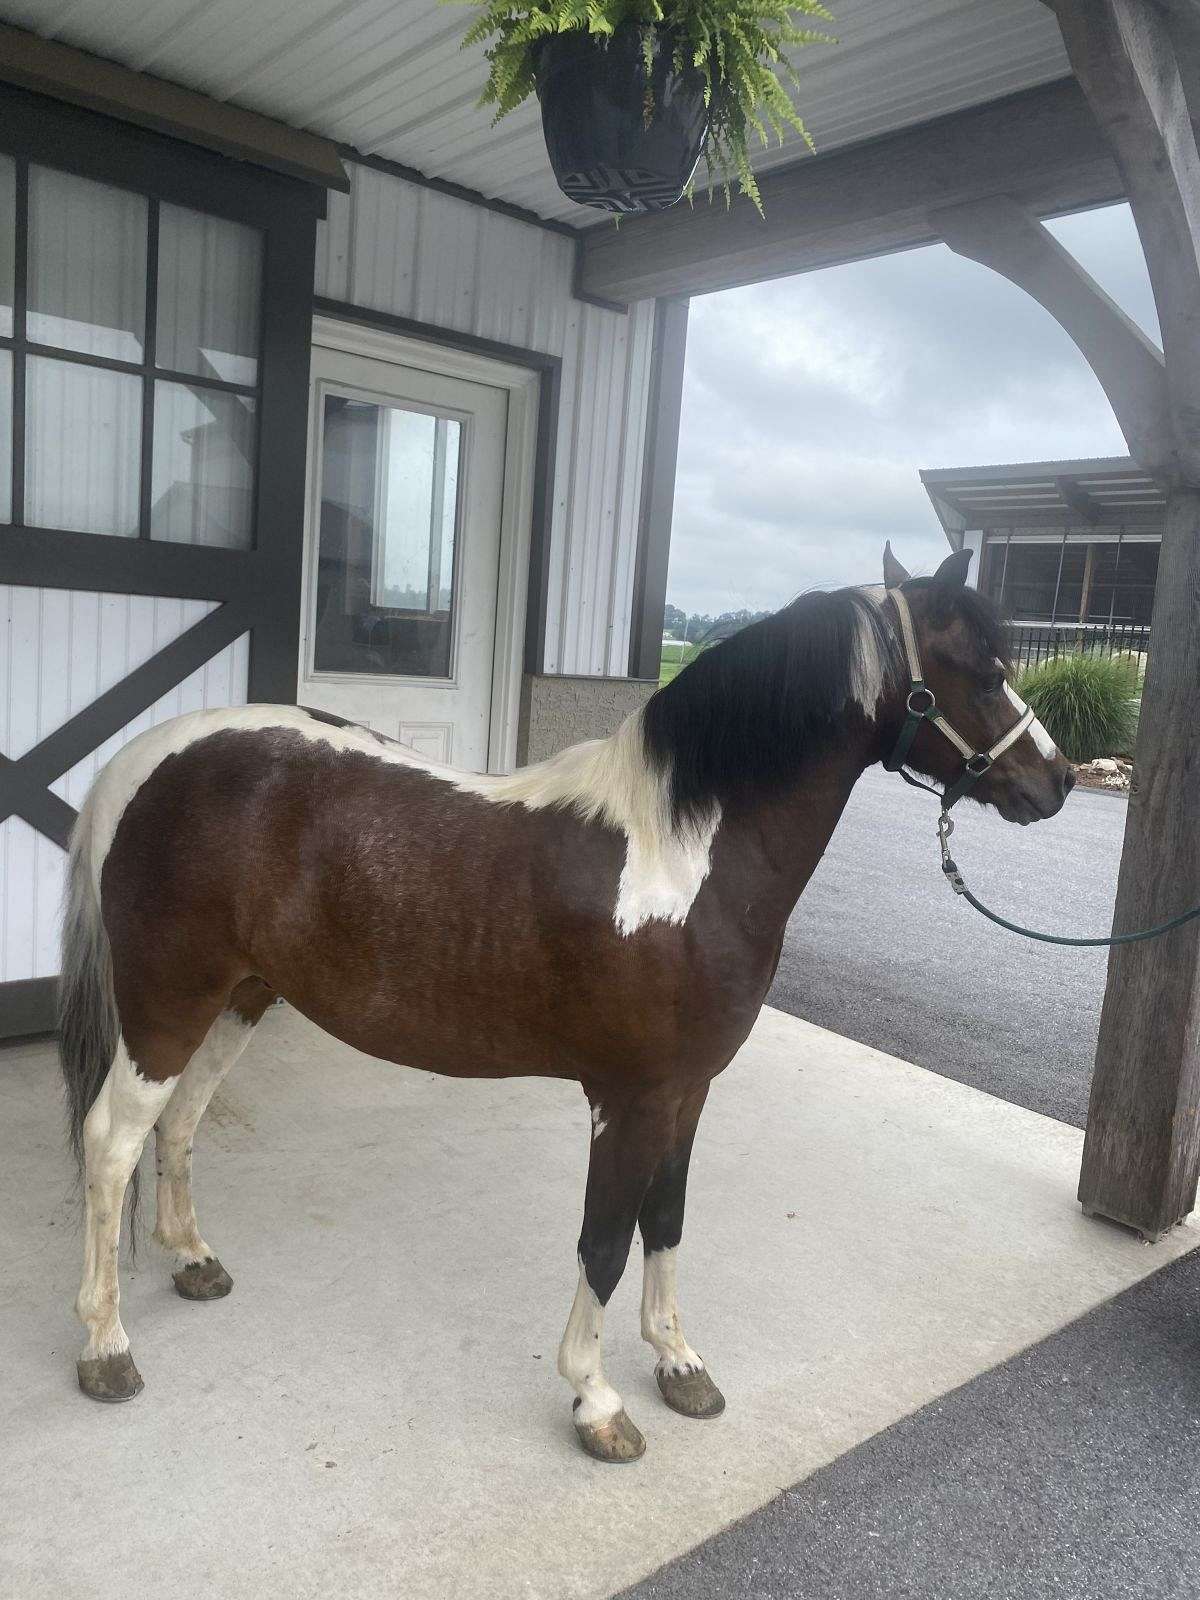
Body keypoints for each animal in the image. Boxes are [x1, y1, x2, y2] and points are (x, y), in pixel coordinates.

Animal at [59, 544, 1074, 1462]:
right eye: (985, 671)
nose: (1058, 781)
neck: (682, 859)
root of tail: (134, 763)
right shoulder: (627, 1097)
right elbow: (605, 1242)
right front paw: (597, 1400)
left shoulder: (687, 1092)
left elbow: (666, 1221)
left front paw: (678, 1364)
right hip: (165, 1004)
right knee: (111, 1142)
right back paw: (106, 1346)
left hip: (240, 996)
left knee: (180, 1123)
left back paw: (193, 1260)